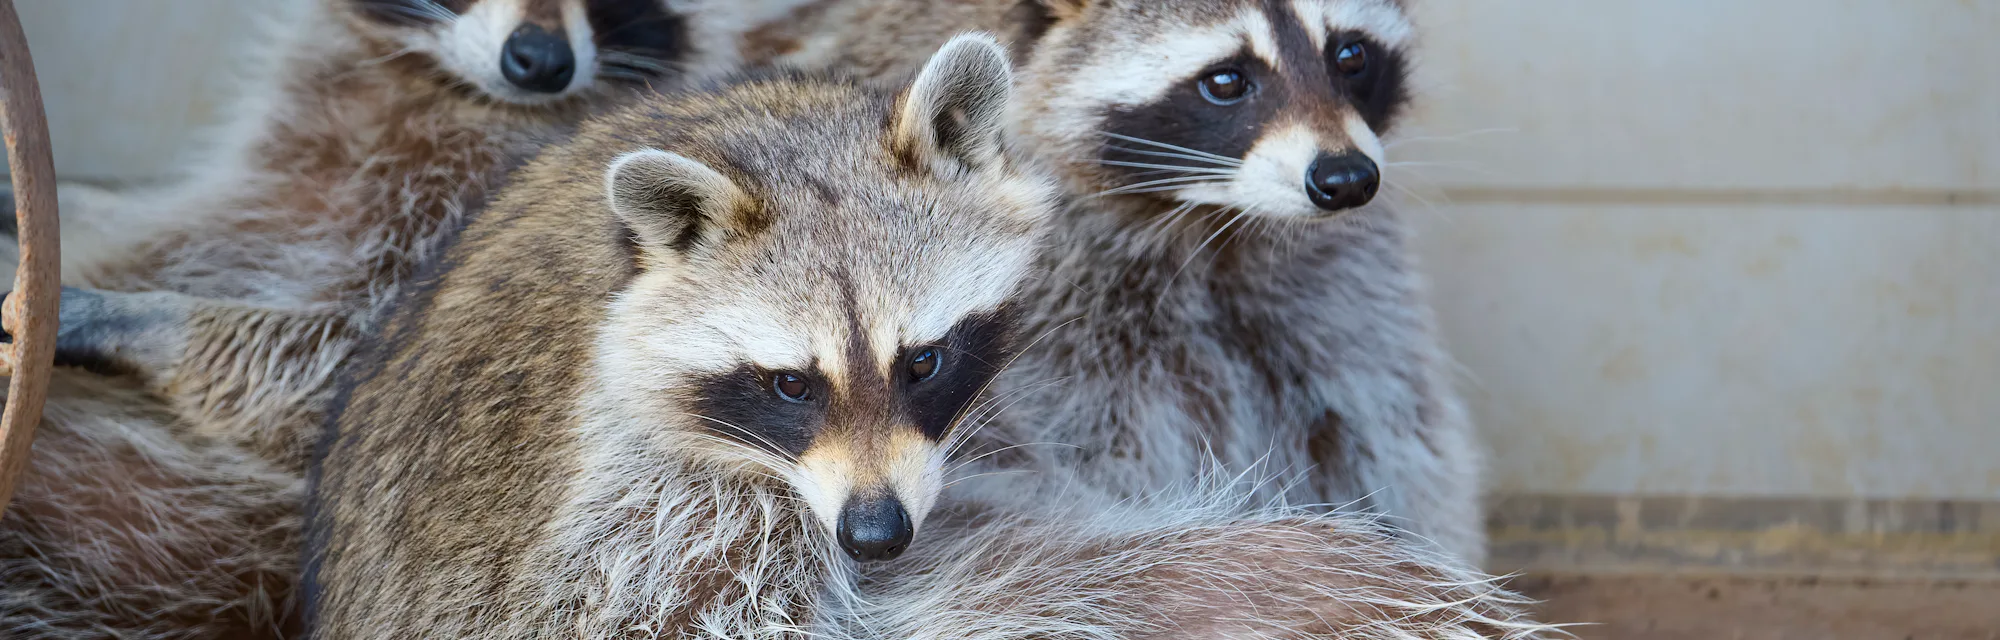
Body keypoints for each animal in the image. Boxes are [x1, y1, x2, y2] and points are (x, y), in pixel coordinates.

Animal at [745, 0, 1488, 563]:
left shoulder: (1334, 276)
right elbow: (1101, 458)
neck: (1214, 220)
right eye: (1226, 80)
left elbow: (1386, 428)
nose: (1346, 178)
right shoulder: (1059, 314)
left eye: (1350, 56)